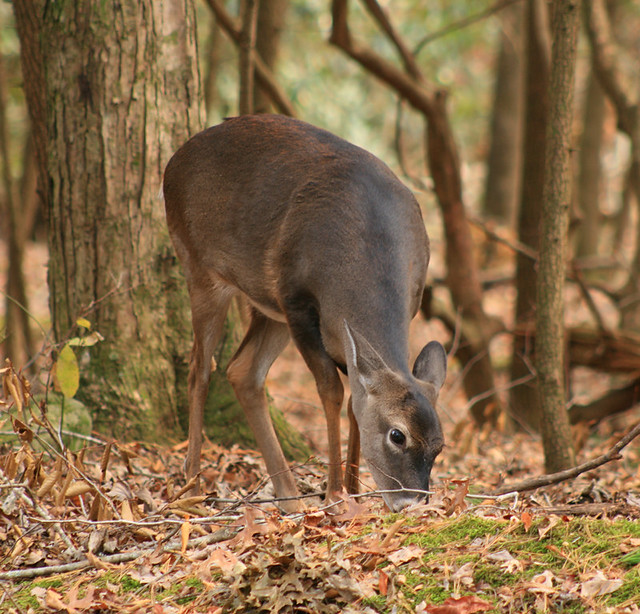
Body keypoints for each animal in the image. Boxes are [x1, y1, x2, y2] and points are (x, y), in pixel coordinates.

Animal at [163, 114, 447, 513]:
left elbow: (355, 403)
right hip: (201, 266)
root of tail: (174, 159)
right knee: (200, 369)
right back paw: (191, 481)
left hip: (268, 303)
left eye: (439, 445)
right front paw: (335, 494)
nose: (411, 501)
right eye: (397, 435)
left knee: (243, 370)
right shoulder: (297, 302)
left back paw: (287, 494)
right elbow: (331, 391)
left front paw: (353, 489)